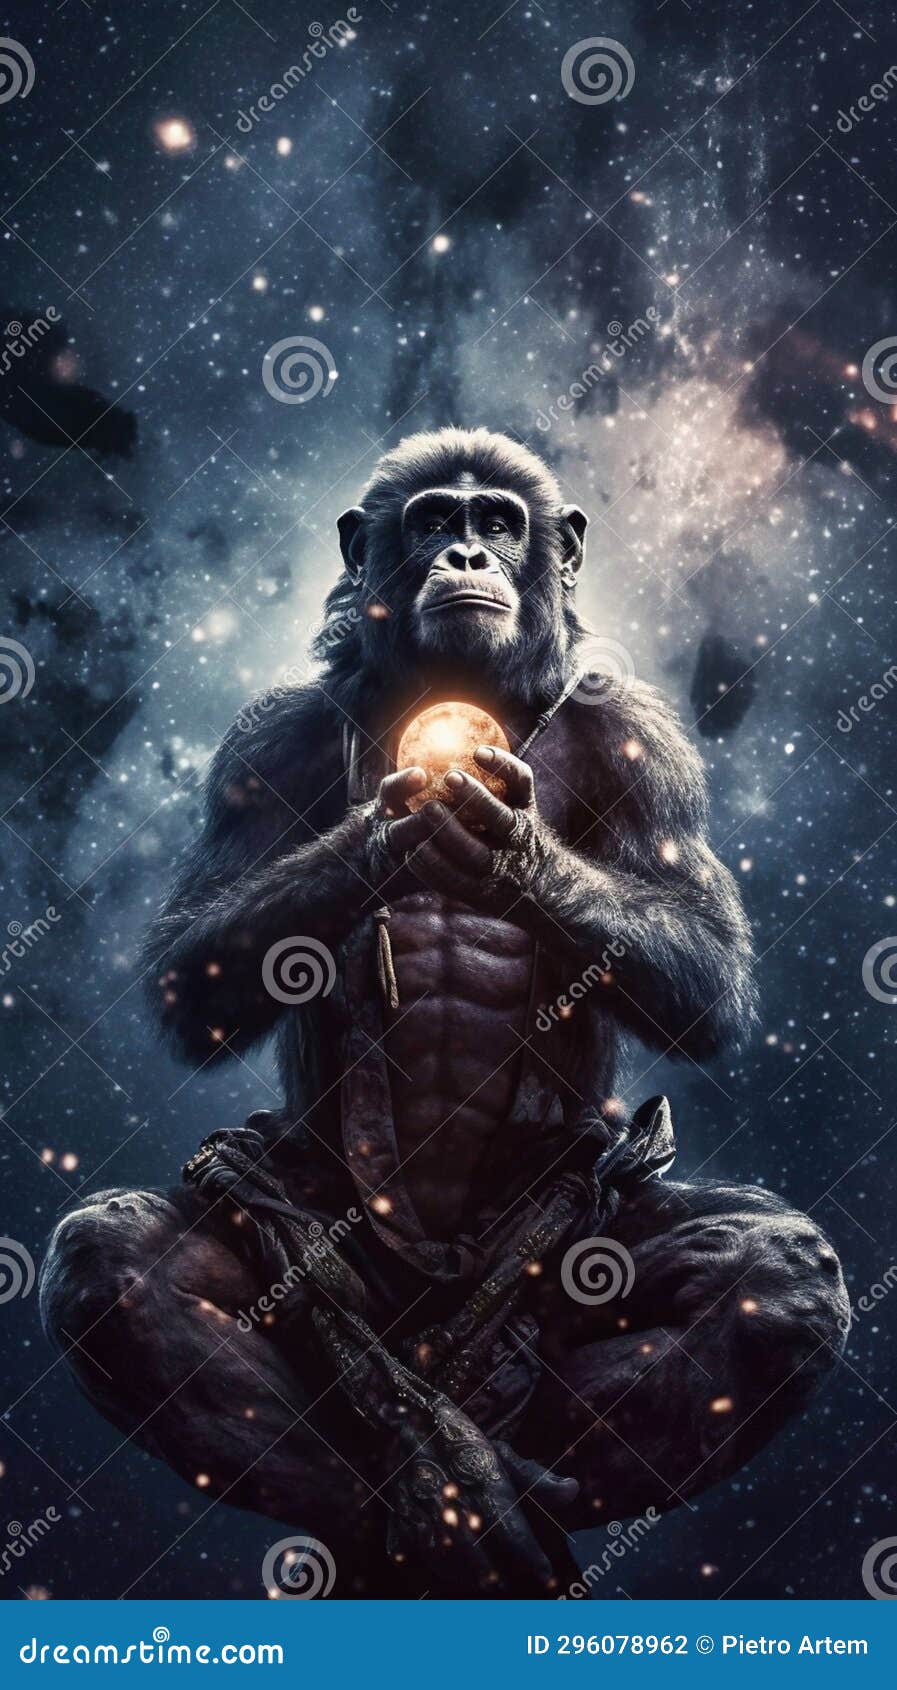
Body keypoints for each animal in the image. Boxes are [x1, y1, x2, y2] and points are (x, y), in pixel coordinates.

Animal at [40, 428, 849, 1598]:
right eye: (432, 519)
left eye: (498, 522)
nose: (465, 552)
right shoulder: (261, 740)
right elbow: (189, 962)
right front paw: (386, 836)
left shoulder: (644, 738)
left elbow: (702, 955)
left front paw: (510, 854)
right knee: (116, 1266)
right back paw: (422, 1499)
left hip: (548, 1229)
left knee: (771, 1278)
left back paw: (502, 1492)